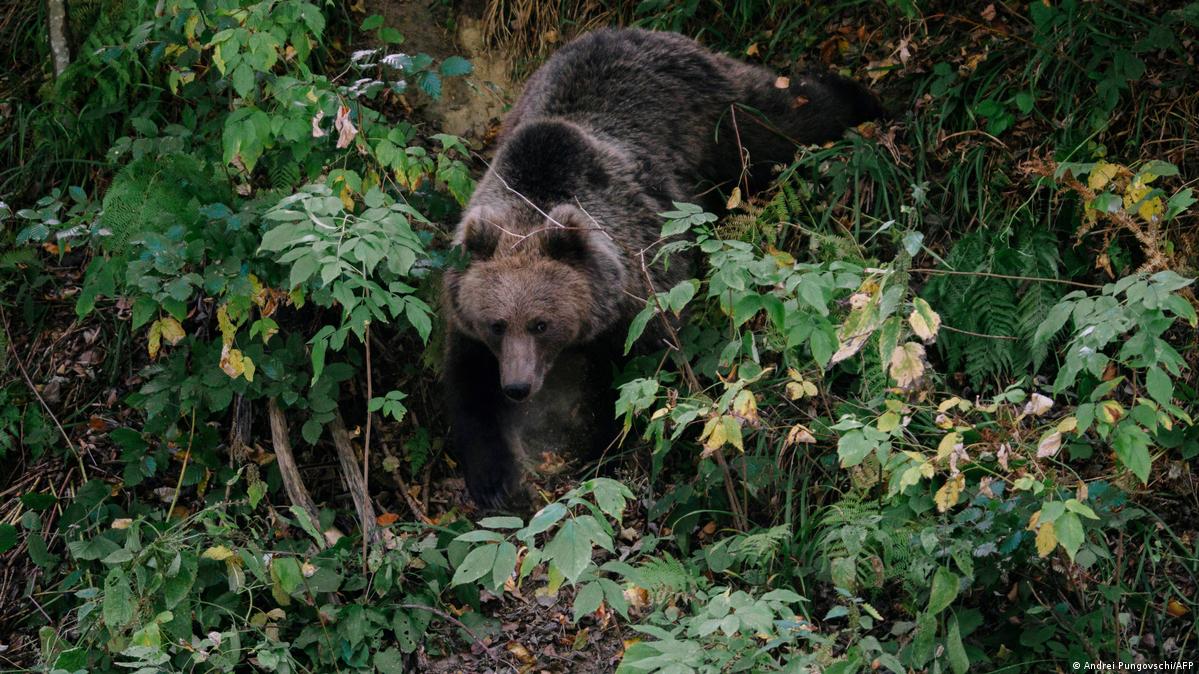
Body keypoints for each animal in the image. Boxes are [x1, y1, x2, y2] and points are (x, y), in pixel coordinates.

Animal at [442, 27, 882, 508]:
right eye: (497, 324)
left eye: (541, 323)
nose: (518, 386)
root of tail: (638, 31)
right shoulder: (467, 310)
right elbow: (466, 387)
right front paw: (491, 480)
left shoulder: (642, 290)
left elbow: (640, 378)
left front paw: (602, 452)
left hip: (716, 115)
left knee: (781, 118)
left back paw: (861, 97)